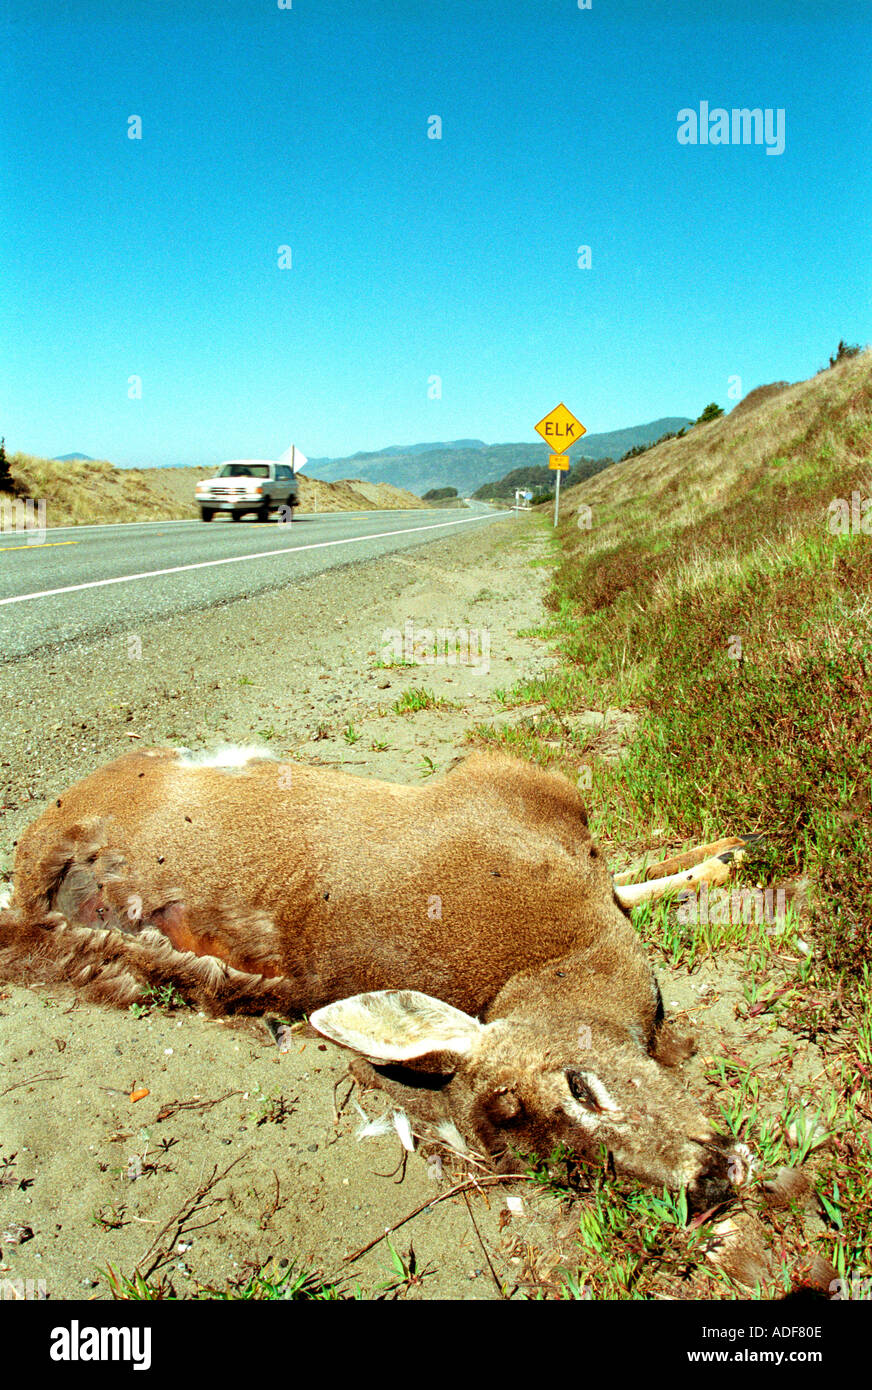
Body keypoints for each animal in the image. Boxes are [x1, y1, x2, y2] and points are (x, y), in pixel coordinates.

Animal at [0, 746, 753, 1210]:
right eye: (569, 1170)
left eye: (580, 1086)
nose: (716, 1176)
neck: (552, 953)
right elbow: (634, 884)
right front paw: (728, 855)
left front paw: (729, 851)